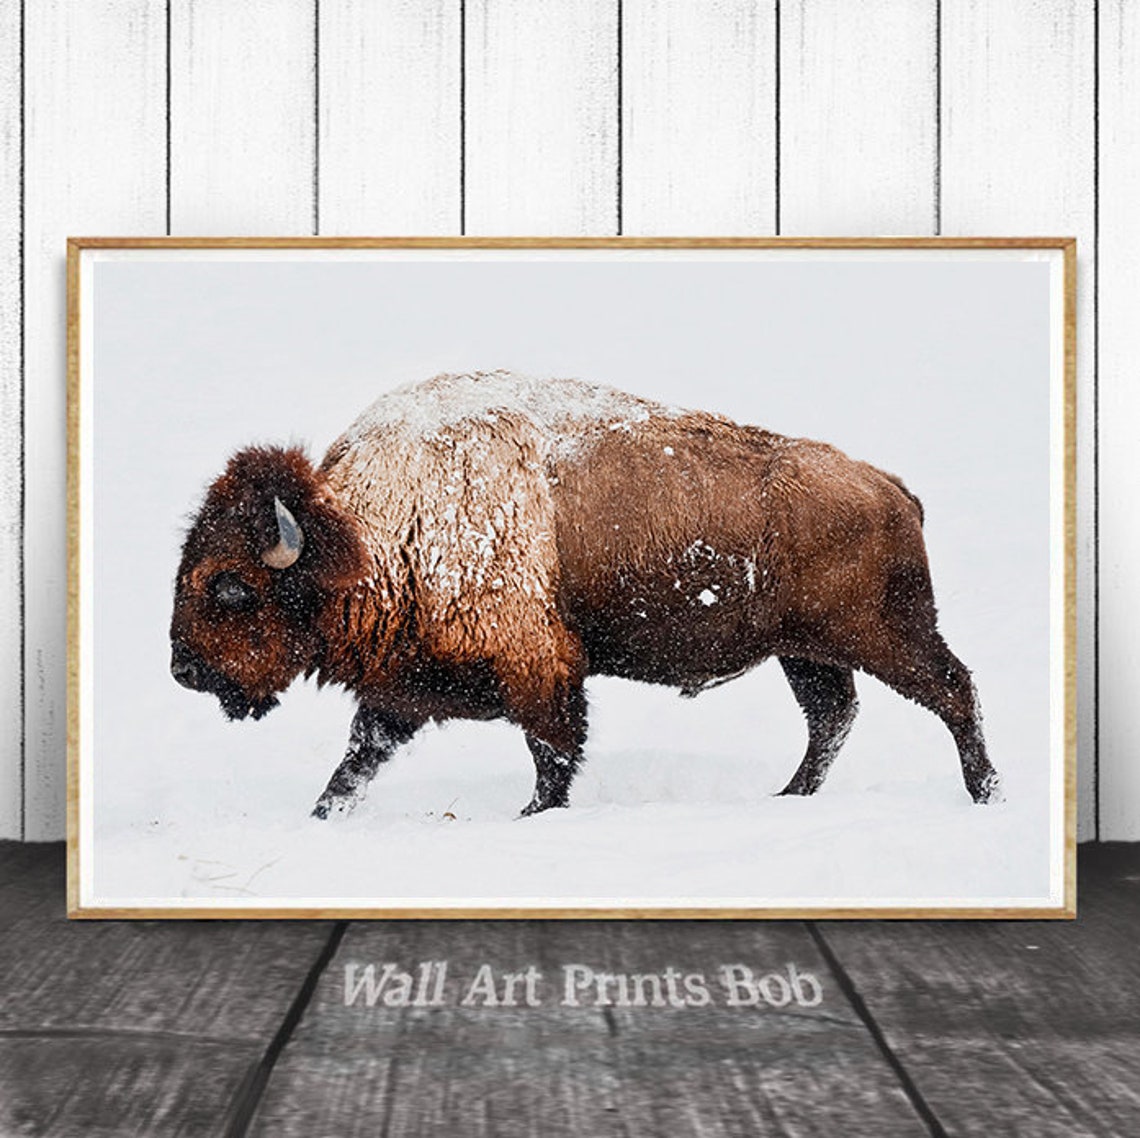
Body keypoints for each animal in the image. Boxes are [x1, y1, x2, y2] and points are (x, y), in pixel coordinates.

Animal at [170, 370, 1001, 818]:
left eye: (231, 585)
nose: (183, 670)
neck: (365, 529)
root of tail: (889, 487)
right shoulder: (403, 689)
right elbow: (355, 762)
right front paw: (320, 817)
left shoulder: (539, 670)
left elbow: (552, 756)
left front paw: (531, 815)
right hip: (805, 652)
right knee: (833, 717)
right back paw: (789, 797)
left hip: (885, 635)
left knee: (953, 690)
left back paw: (983, 793)